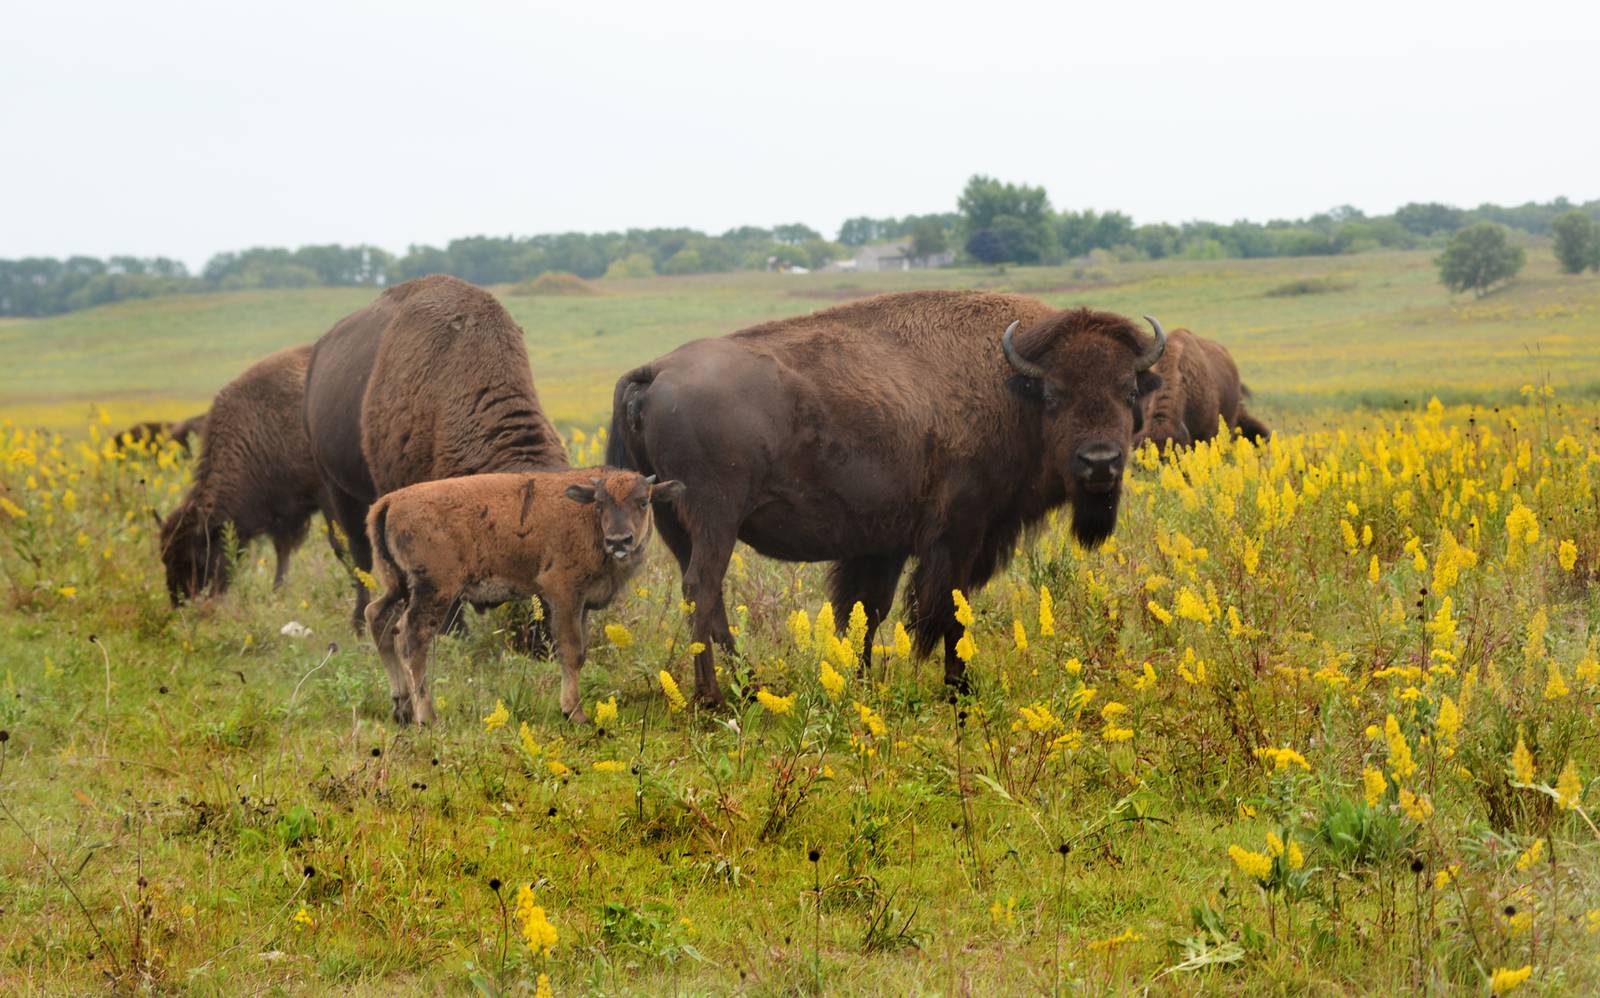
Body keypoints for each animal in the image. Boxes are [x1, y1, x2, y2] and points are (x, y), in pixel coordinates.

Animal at [607, 290, 1166, 704]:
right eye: (1054, 395)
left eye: (1129, 390)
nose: (1099, 462)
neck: (1011, 384)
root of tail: (655, 370)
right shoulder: (962, 531)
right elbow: (947, 609)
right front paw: (959, 690)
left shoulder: (883, 543)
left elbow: (866, 611)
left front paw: (861, 683)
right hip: (714, 518)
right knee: (701, 589)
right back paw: (714, 699)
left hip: (671, 519)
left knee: (707, 595)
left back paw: (750, 687)